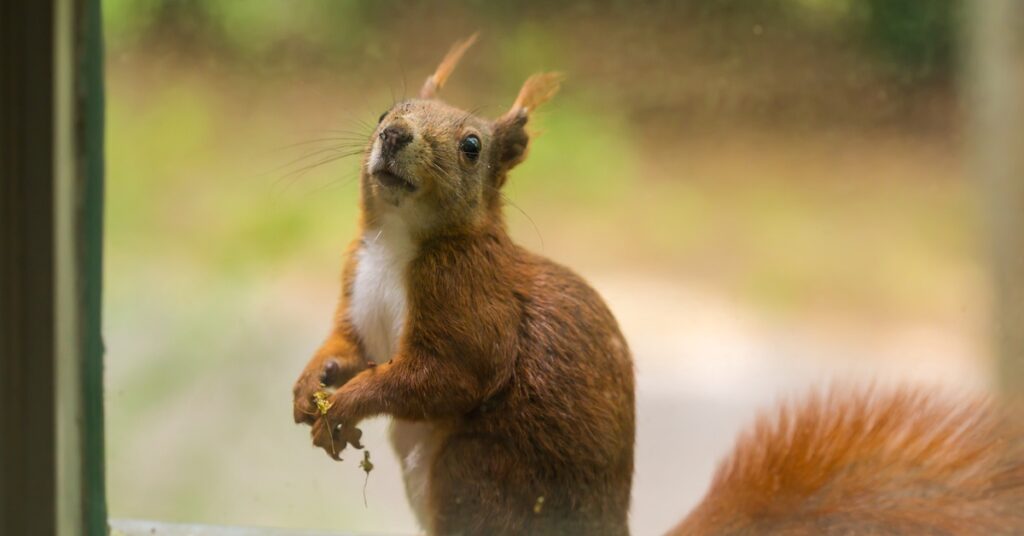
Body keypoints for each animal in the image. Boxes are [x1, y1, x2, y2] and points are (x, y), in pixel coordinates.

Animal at [293, 36, 1024, 535]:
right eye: (386, 109)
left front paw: (352, 400)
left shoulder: (471, 304)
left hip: (478, 475)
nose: (392, 135)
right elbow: (347, 344)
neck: (398, 243)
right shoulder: (357, 290)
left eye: (472, 146)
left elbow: (444, 377)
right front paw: (312, 387)